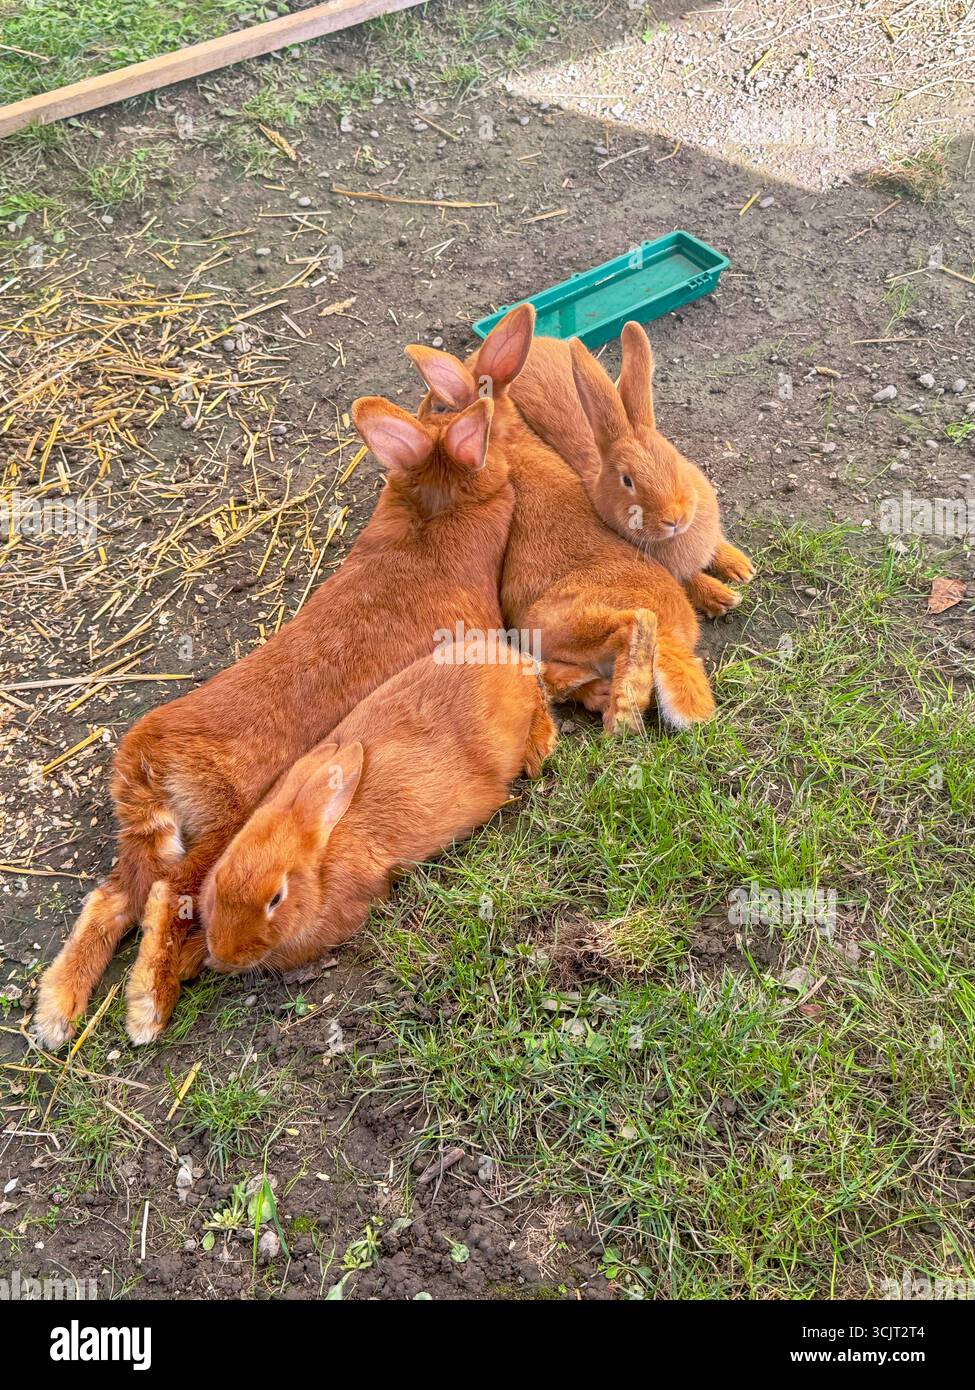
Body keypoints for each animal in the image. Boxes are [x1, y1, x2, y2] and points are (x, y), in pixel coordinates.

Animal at [34, 393, 516, 1049]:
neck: (432, 518)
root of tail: (148, 756)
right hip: (222, 823)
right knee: (166, 897)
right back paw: (146, 1008)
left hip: (156, 839)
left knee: (111, 899)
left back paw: (55, 1013)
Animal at [407, 305, 714, 735]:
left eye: (438, 407)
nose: (420, 414)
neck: (507, 437)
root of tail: (673, 638)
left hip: (553, 624)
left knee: (632, 625)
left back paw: (620, 715)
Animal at [501, 322, 754, 618]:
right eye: (627, 481)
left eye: (673, 458)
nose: (675, 518)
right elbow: (690, 580)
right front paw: (724, 597)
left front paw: (741, 568)